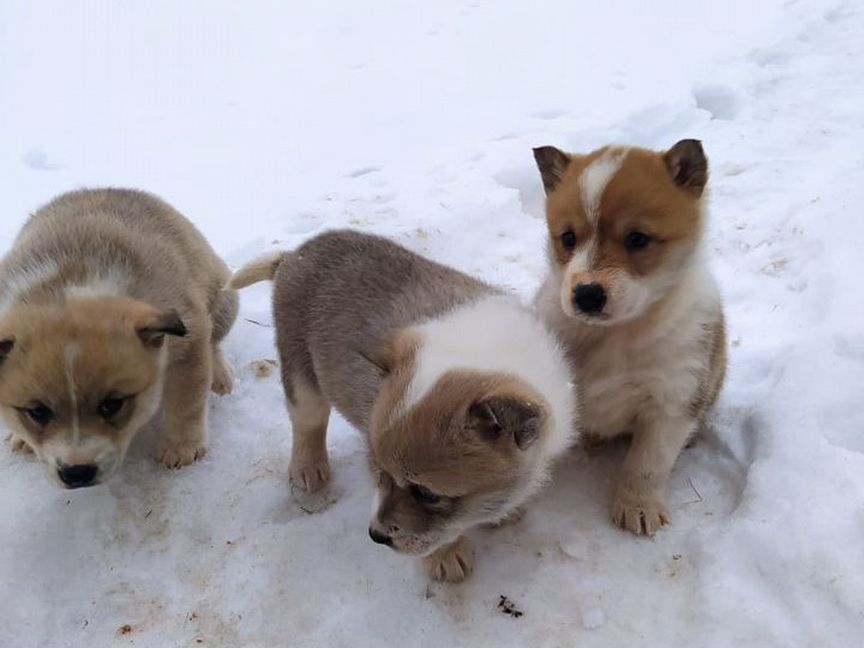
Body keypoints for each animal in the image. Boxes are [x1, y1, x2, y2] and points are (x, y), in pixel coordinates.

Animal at [0, 187, 236, 486]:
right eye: (37, 412)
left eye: (112, 405)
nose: (77, 474)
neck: (70, 285)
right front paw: (21, 437)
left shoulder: (190, 338)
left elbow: (187, 401)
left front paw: (182, 449)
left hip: (224, 300)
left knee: (215, 342)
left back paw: (221, 378)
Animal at [233, 232, 576, 584]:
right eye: (380, 470)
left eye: (427, 493)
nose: (375, 536)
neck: (486, 352)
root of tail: (292, 256)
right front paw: (446, 555)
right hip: (301, 375)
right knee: (308, 422)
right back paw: (308, 468)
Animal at [528, 140, 724, 536]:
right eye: (568, 238)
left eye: (638, 239)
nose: (587, 295)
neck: (615, 335)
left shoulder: (672, 402)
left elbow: (647, 465)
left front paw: (638, 506)